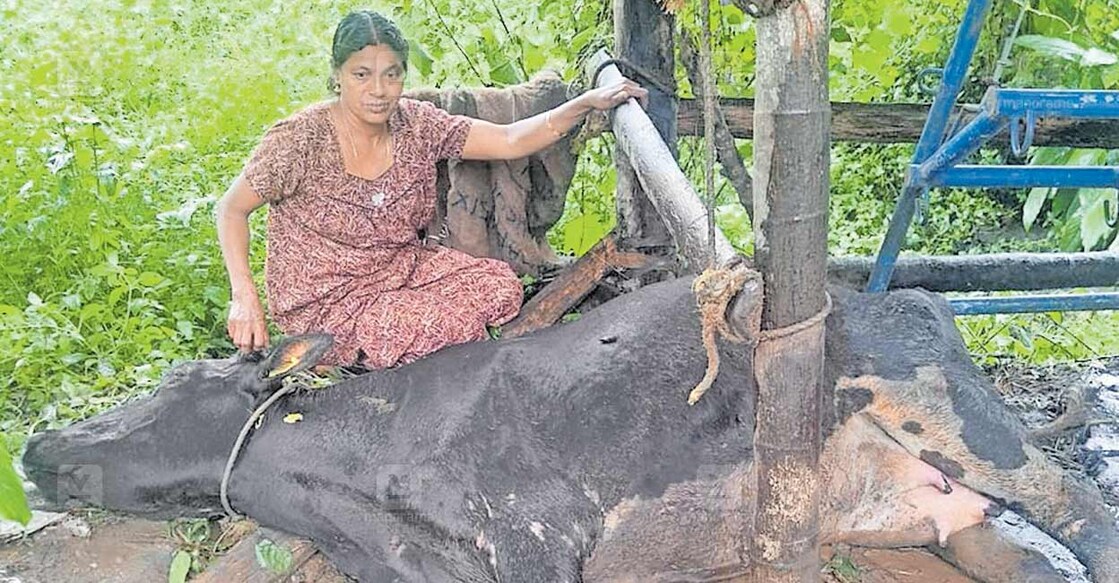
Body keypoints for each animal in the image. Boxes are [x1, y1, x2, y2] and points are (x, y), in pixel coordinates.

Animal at [22, 277, 1119, 582]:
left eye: (173, 383)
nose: (33, 448)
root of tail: (921, 298)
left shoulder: (538, 532)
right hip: (950, 520)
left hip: (940, 407)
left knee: (1080, 499)